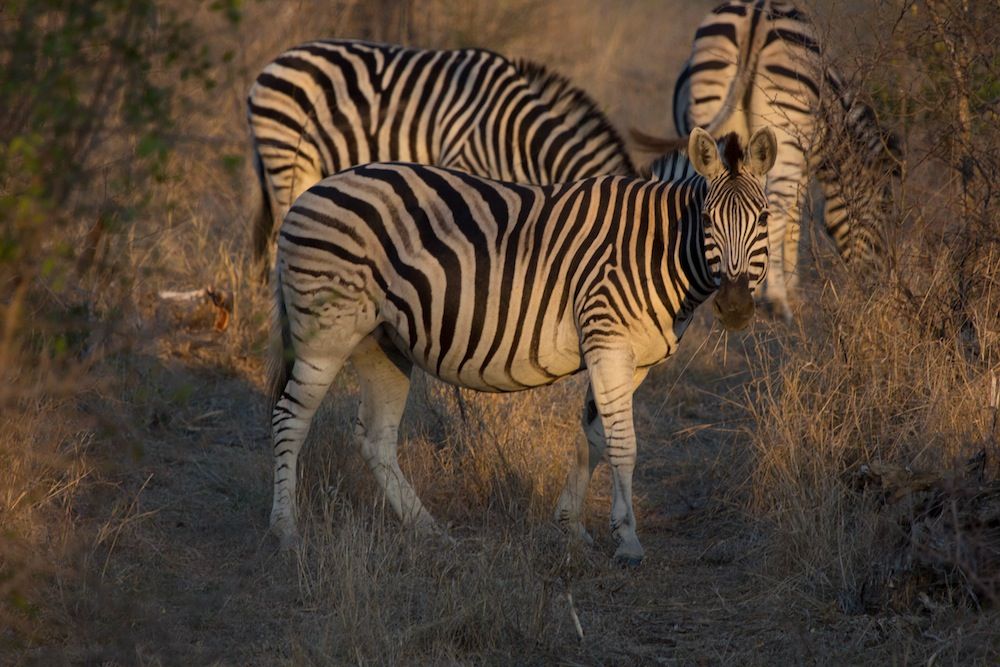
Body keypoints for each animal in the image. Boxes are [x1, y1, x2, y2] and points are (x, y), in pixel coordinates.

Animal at [267, 127, 777, 565]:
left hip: (382, 343)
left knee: (375, 438)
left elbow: (593, 437)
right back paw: (286, 531)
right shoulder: (607, 340)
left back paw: (427, 529)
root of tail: (308, 194)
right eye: (707, 220)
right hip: (325, 335)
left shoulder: (631, 359)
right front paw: (628, 539)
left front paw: (571, 525)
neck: (656, 248)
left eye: (765, 219)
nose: (735, 307)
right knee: (289, 419)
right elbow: (623, 443)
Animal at [634, 0, 900, 323]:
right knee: (775, 212)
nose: (880, 287)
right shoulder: (801, 162)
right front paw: (788, 292)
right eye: (883, 214)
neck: (836, 118)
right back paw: (777, 301)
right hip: (784, 126)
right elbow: (792, 220)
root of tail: (755, 20)